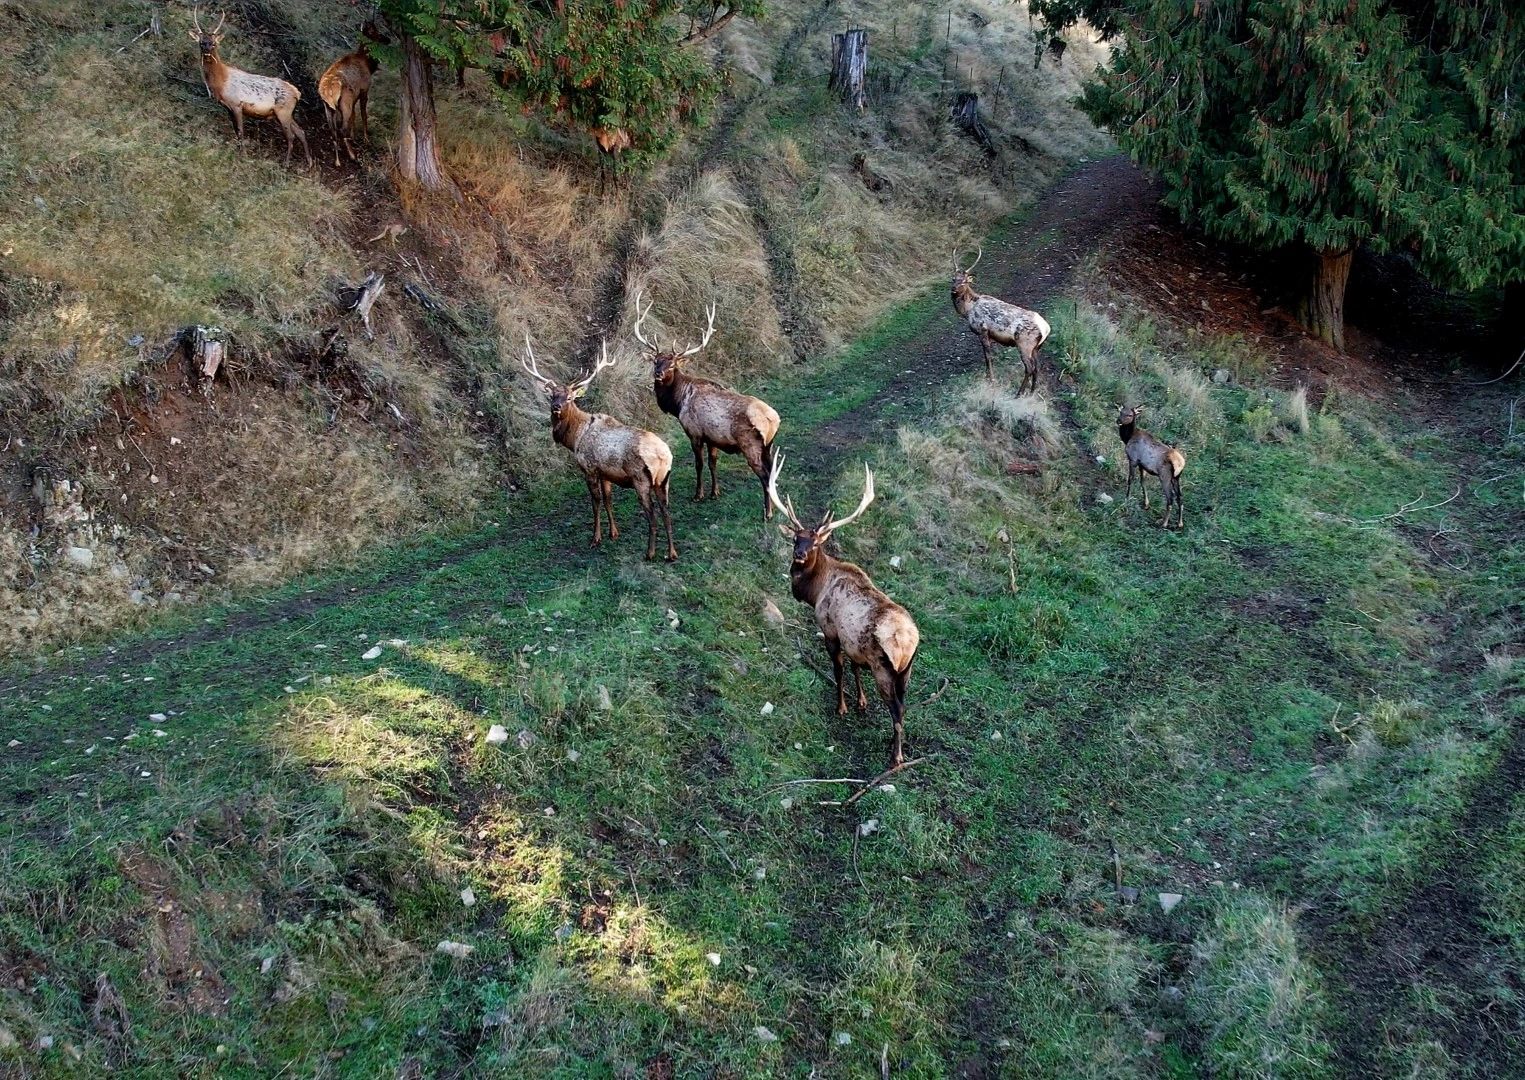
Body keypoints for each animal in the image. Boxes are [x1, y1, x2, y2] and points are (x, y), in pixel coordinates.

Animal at [188, 9, 311, 168]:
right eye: (201, 43)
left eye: (214, 43)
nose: (207, 52)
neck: (221, 82)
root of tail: (297, 92)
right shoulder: (228, 107)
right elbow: (235, 130)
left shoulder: (236, 104)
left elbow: (240, 131)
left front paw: (243, 155)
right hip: (287, 113)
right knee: (301, 131)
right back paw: (309, 163)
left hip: (283, 111)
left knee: (291, 136)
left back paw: (286, 163)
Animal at [521, 336, 678, 561]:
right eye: (552, 396)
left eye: (569, 398)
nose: (556, 407)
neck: (574, 438)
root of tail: (662, 456)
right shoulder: (605, 472)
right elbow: (608, 500)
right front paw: (614, 532)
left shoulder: (589, 468)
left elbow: (595, 502)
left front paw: (596, 538)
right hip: (664, 479)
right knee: (666, 512)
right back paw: (672, 553)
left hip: (641, 479)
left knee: (653, 515)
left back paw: (649, 553)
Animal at [633, 292, 782, 521]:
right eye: (656, 361)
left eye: (672, 364)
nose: (658, 374)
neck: (677, 404)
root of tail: (772, 420)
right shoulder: (713, 437)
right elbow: (713, 462)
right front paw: (715, 492)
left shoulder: (694, 432)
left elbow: (699, 464)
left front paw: (698, 495)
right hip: (769, 445)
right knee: (771, 472)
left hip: (750, 444)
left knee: (764, 475)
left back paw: (767, 513)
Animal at [767, 450, 920, 772]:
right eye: (796, 538)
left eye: (814, 543)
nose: (799, 554)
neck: (814, 592)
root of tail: (907, 640)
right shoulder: (853, 643)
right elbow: (854, 667)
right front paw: (861, 701)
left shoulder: (830, 630)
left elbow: (838, 671)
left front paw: (842, 707)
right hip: (907, 670)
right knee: (905, 703)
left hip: (885, 668)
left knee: (897, 710)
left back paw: (896, 756)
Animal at [951, 248, 1051, 394]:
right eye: (953, 279)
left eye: (964, 281)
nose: (953, 289)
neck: (967, 311)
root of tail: (1046, 329)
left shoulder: (982, 330)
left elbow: (988, 357)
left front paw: (991, 379)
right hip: (1037, 347)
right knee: (1037, 367)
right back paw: (1032, 392)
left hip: (1024, 343)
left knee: (1029, 367)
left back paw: (1019, 393)